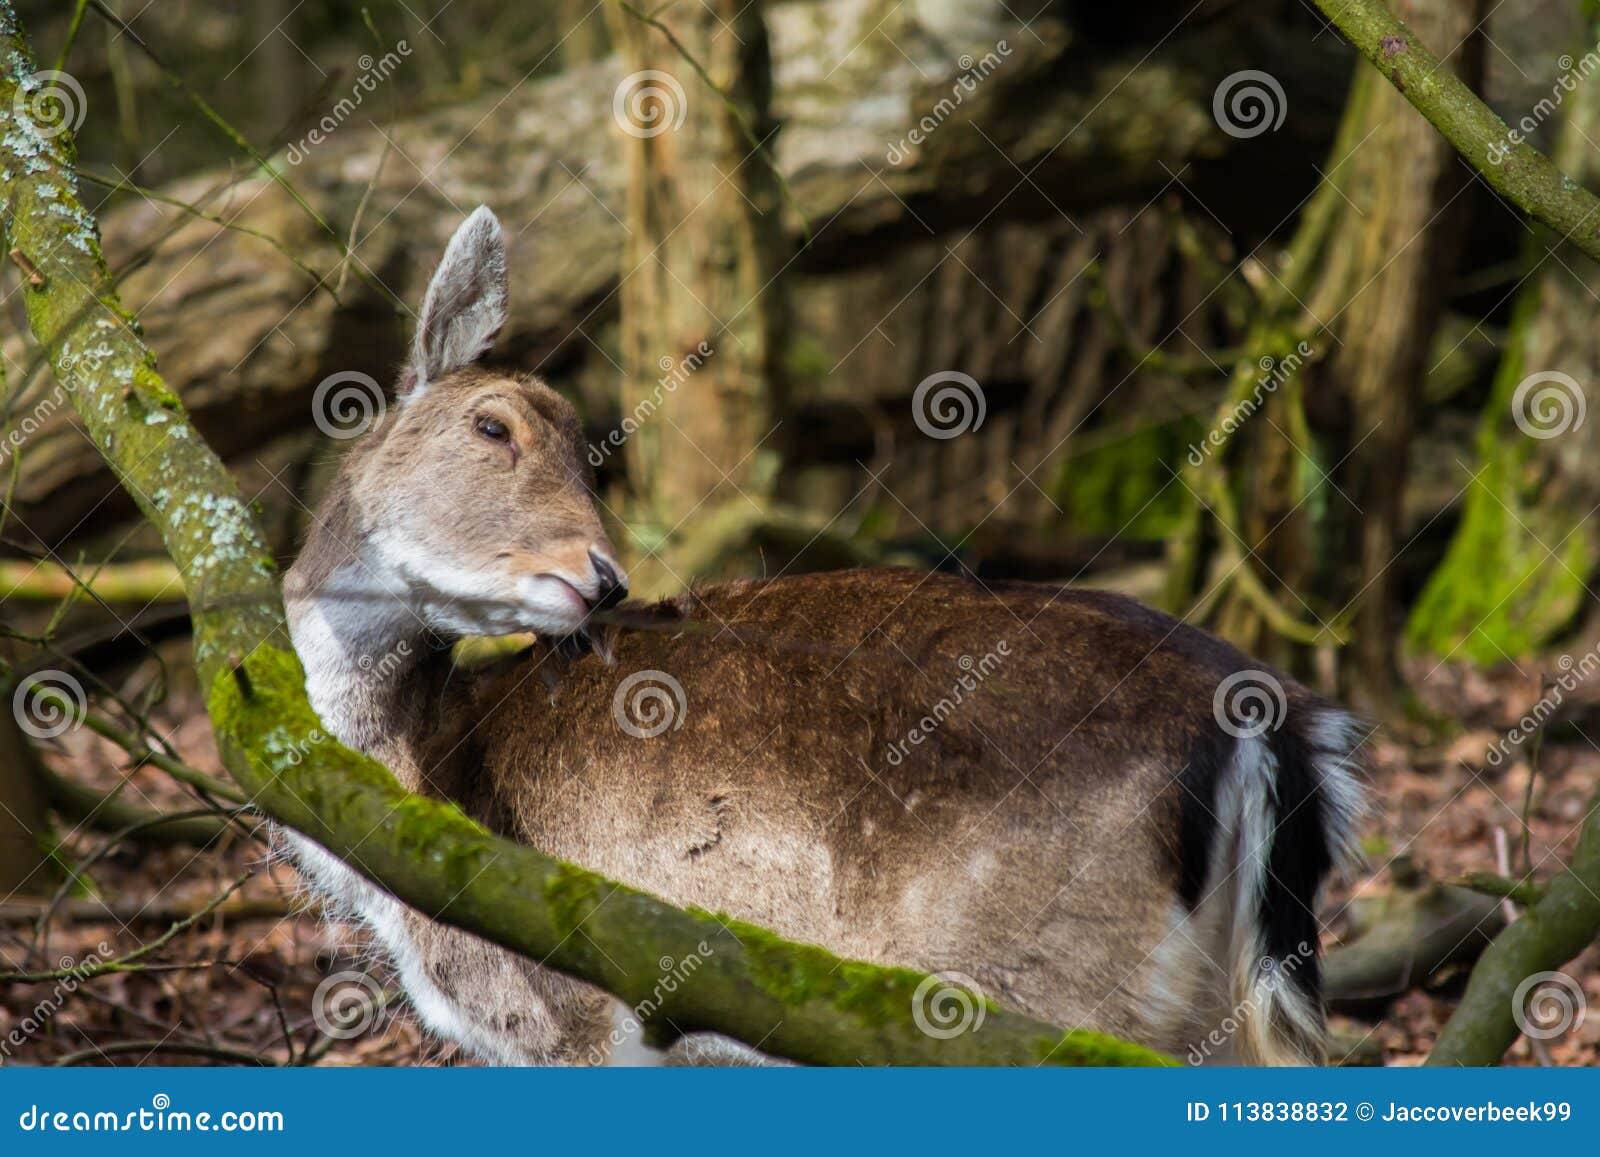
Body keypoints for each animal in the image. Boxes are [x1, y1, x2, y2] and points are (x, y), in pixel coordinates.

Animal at [281, 206, 1366, 1067]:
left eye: (582, 447)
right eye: (492, 425)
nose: (604, 577)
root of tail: (1273, 721)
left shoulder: (574, 1019)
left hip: (1044, 983)